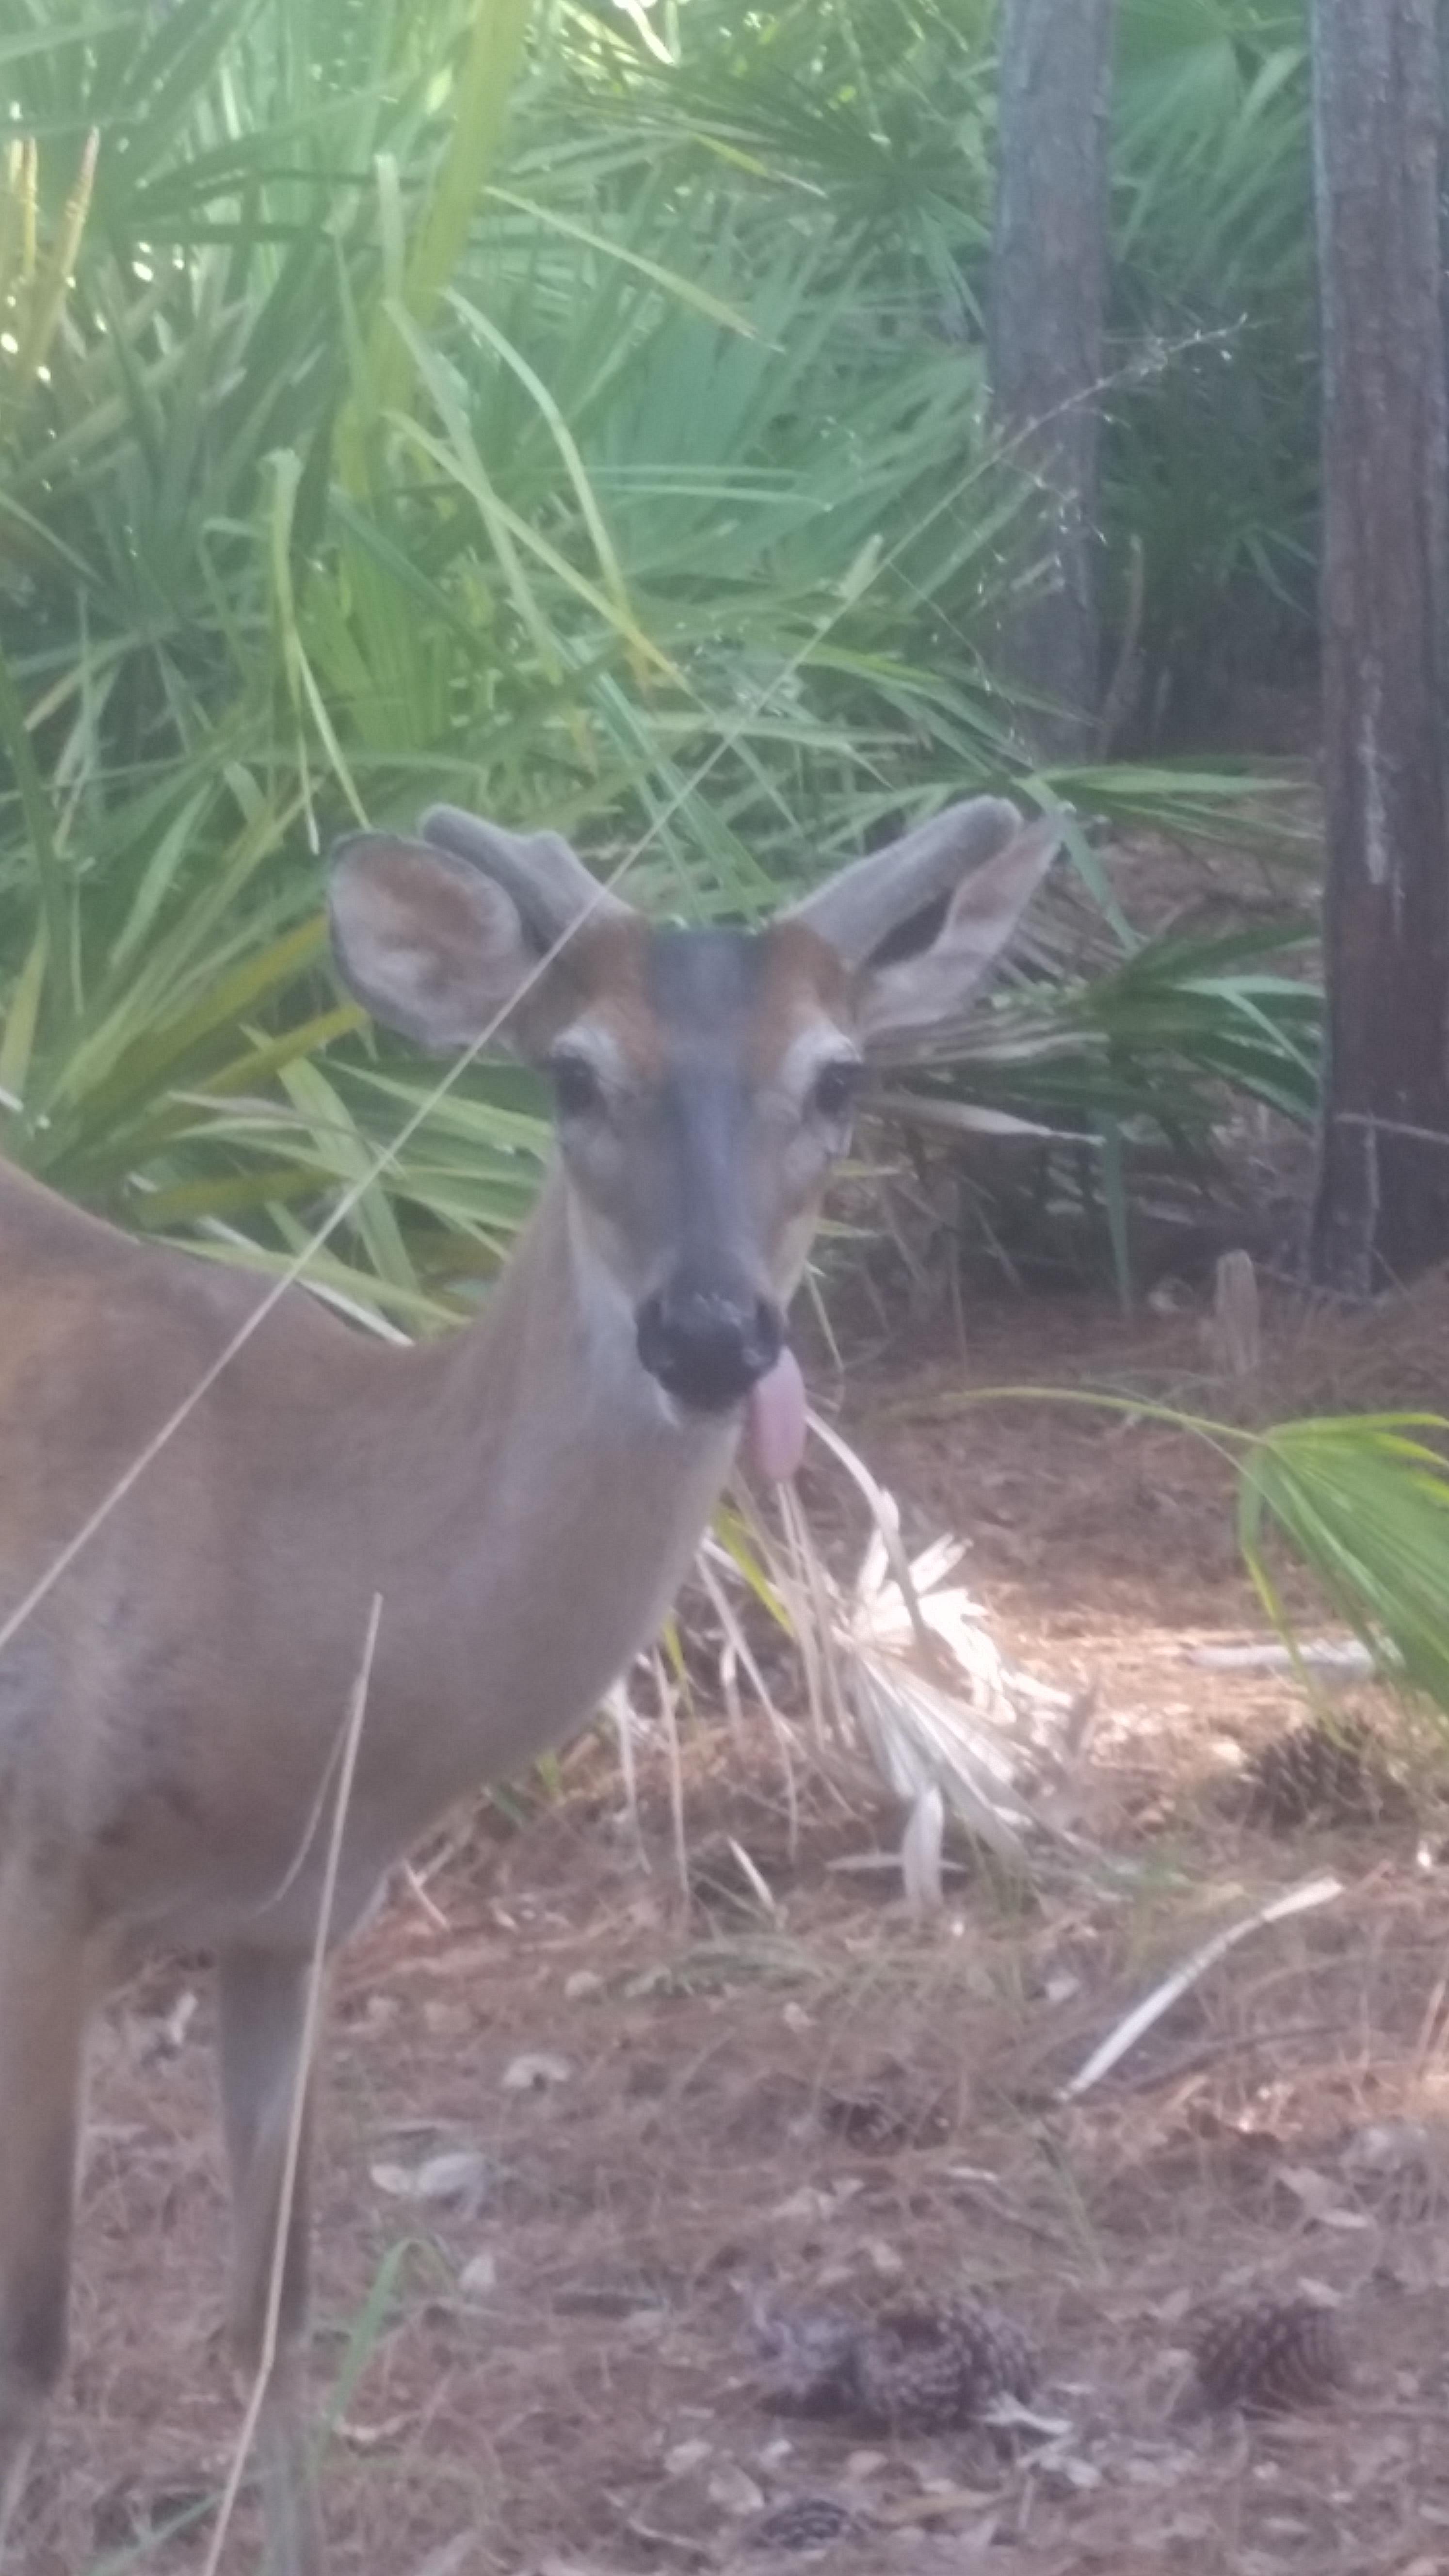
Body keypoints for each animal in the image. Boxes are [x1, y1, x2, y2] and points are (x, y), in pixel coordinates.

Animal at [0, 792, 1057, 2573]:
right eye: (568, 1073)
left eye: (840, 1078)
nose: (710, 1333)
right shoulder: (38, 1863)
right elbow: (36, 2349)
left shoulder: (292, 1918)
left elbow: (272, 2315)